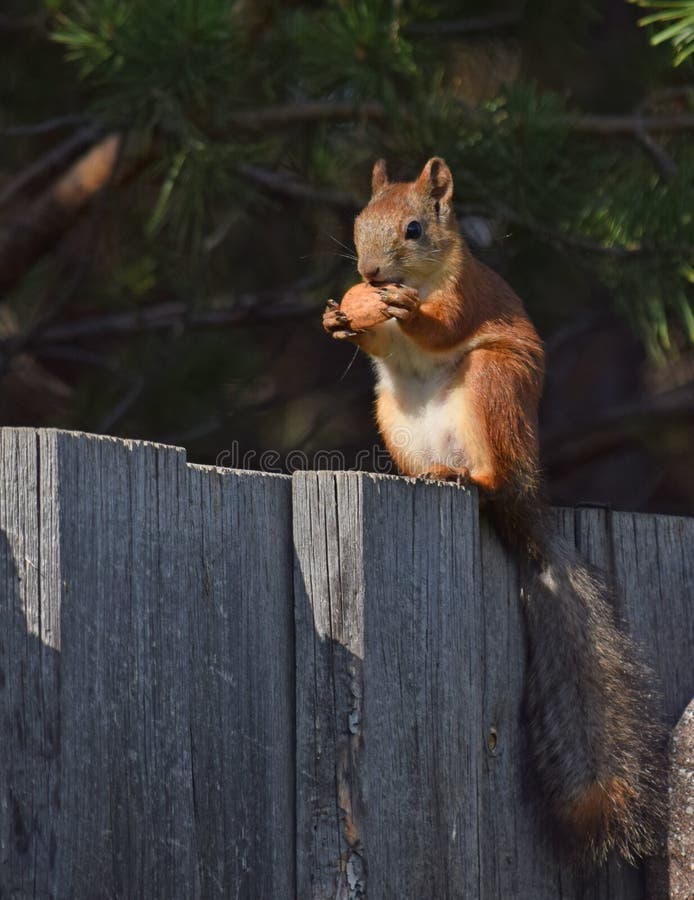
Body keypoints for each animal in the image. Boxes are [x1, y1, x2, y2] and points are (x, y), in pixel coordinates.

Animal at [322, 157, 665, 863]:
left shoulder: (466, 298)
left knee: (490, 472)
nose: (369, 275)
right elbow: (378, 345)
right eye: (360, 223)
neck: (423, 277)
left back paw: (470, 475)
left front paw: (402, 310)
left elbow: (440, 326)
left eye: (415, 228)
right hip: (393, 416)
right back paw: (428, 473)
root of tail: (525, 495)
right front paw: (339, 317)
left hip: (492, 385)